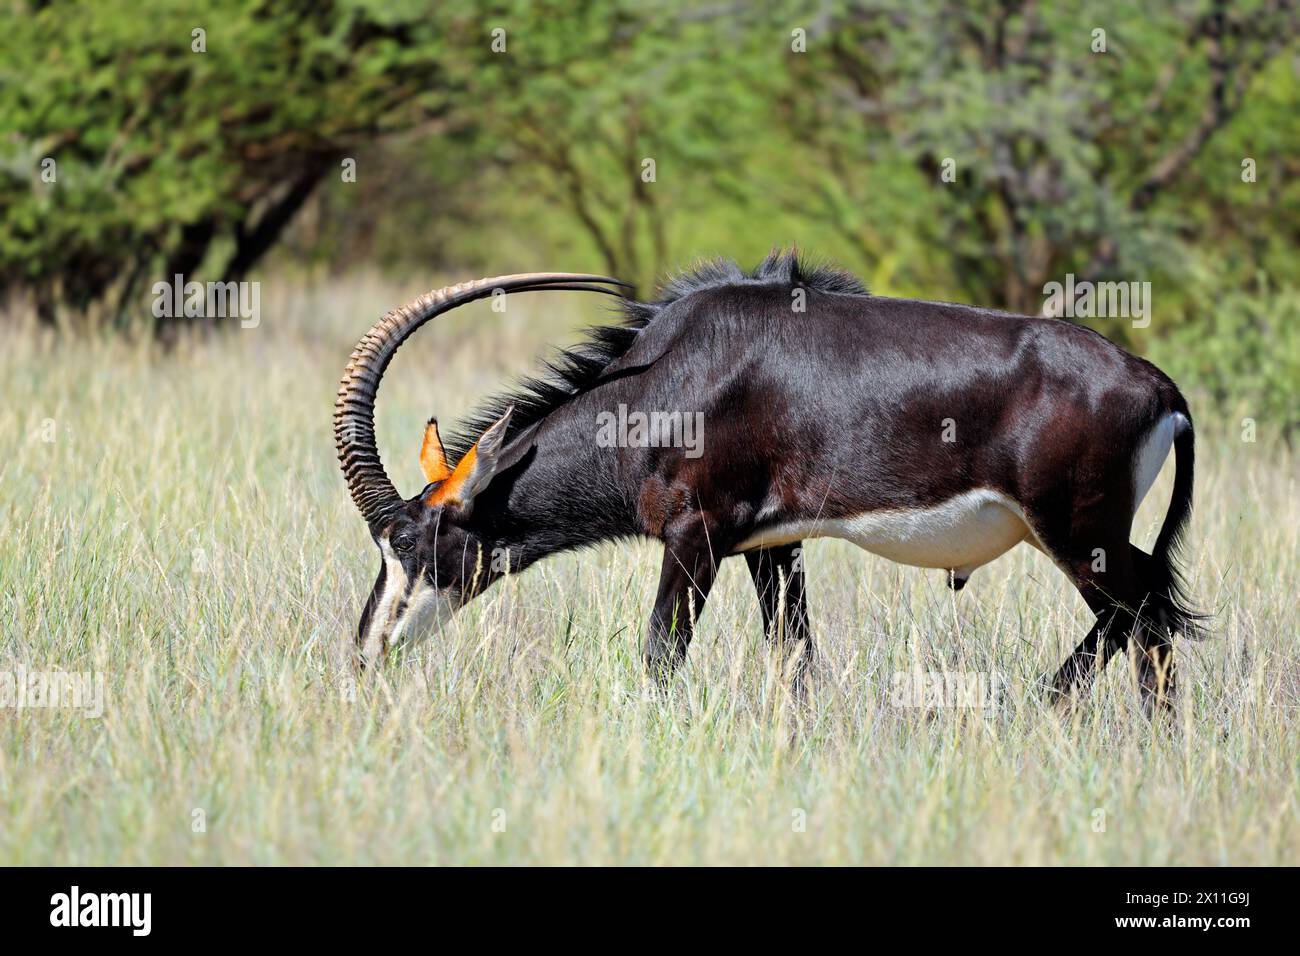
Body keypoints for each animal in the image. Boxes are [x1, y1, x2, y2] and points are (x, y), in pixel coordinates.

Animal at [334, 253, 1200, 712]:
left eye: (409, 540)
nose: (365, 655)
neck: (666, 380)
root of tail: (1157, 386)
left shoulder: (696, 534)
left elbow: (662, 651)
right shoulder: (770, 546)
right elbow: (795, 654)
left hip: (1077, 535)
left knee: (1143, 621)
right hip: (1089, 539)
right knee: (1142, 618)